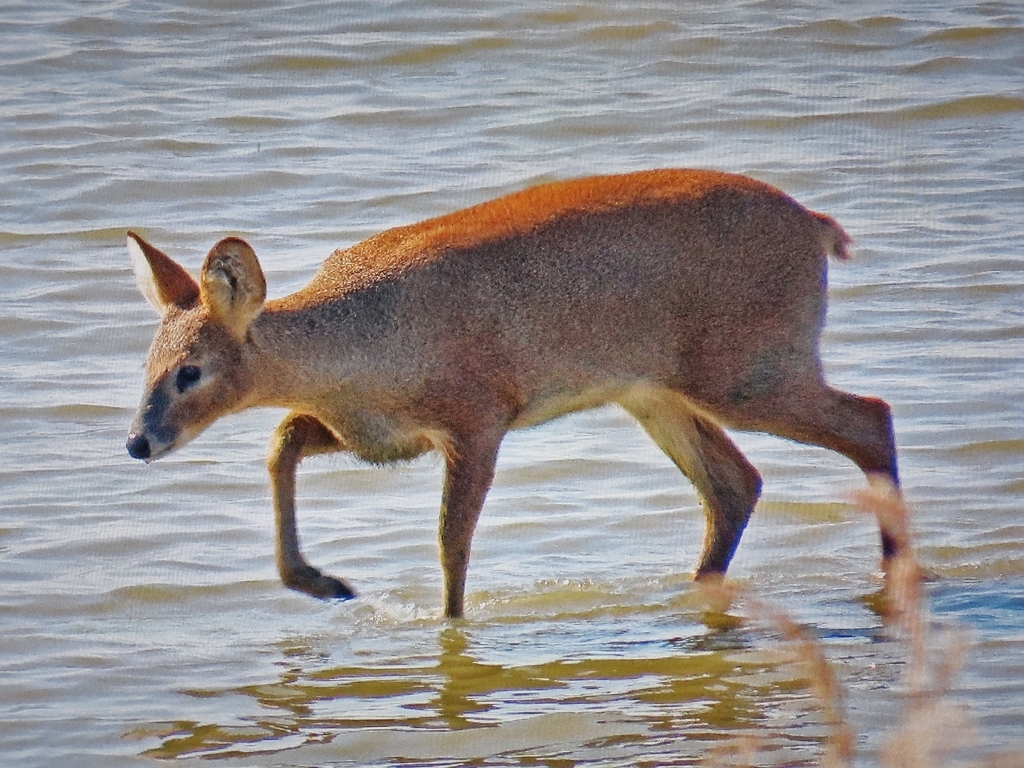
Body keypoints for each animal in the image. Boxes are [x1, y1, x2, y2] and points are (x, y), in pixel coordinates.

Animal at [125, 168, 900, 619]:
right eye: (147, 364)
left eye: (190, 371)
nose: (138, 441)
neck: (367, 347)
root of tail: (818, 229)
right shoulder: (380, 438)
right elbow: (281, 439)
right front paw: (322, 582)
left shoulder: (479, 414)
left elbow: (451, 540)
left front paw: (449, 632)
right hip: (656, 391)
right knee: (737, 483)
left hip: (748, 368)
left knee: (870, 417)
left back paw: (898, 578)